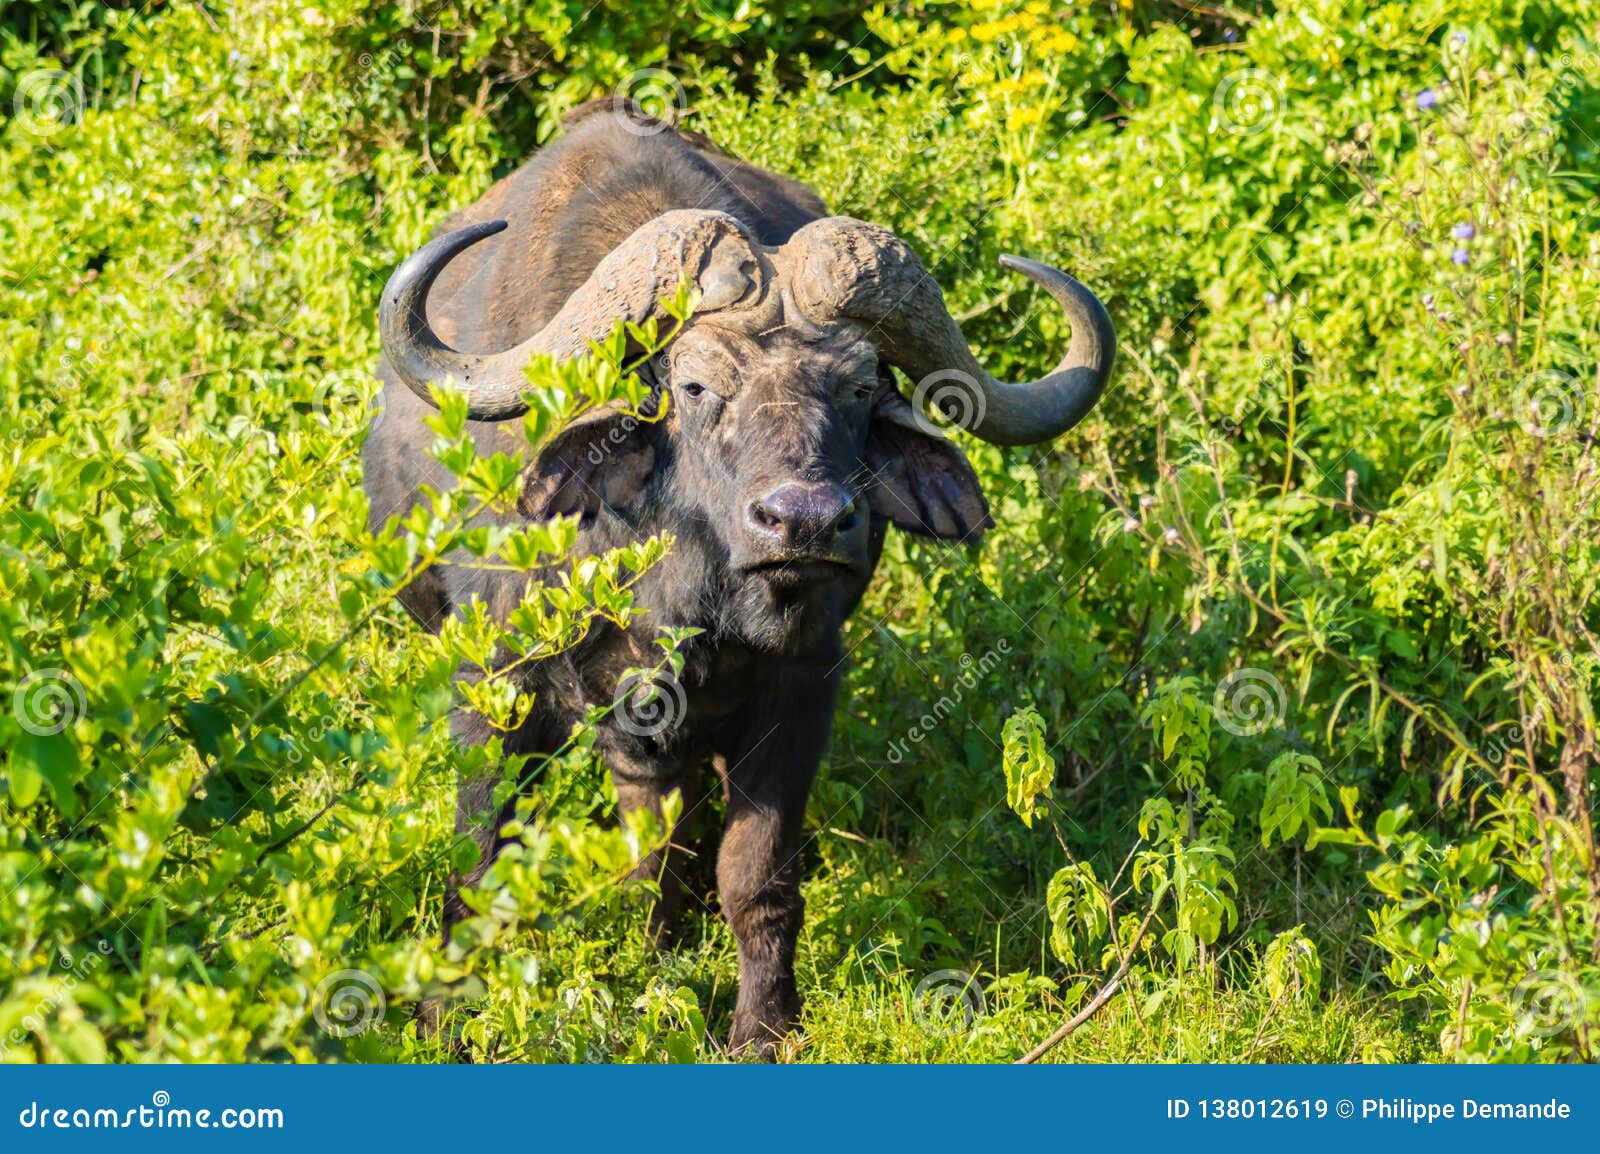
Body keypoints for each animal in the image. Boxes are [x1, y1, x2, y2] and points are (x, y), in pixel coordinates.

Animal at [363, 98, 1115, 1055]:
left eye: (861, 388)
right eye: (693, 387)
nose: (804, 519)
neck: (669, 580)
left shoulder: (801, 686)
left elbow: (753, 873)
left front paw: (762, 1028)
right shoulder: (496, 688)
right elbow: (479, 868)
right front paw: (442, 1024)